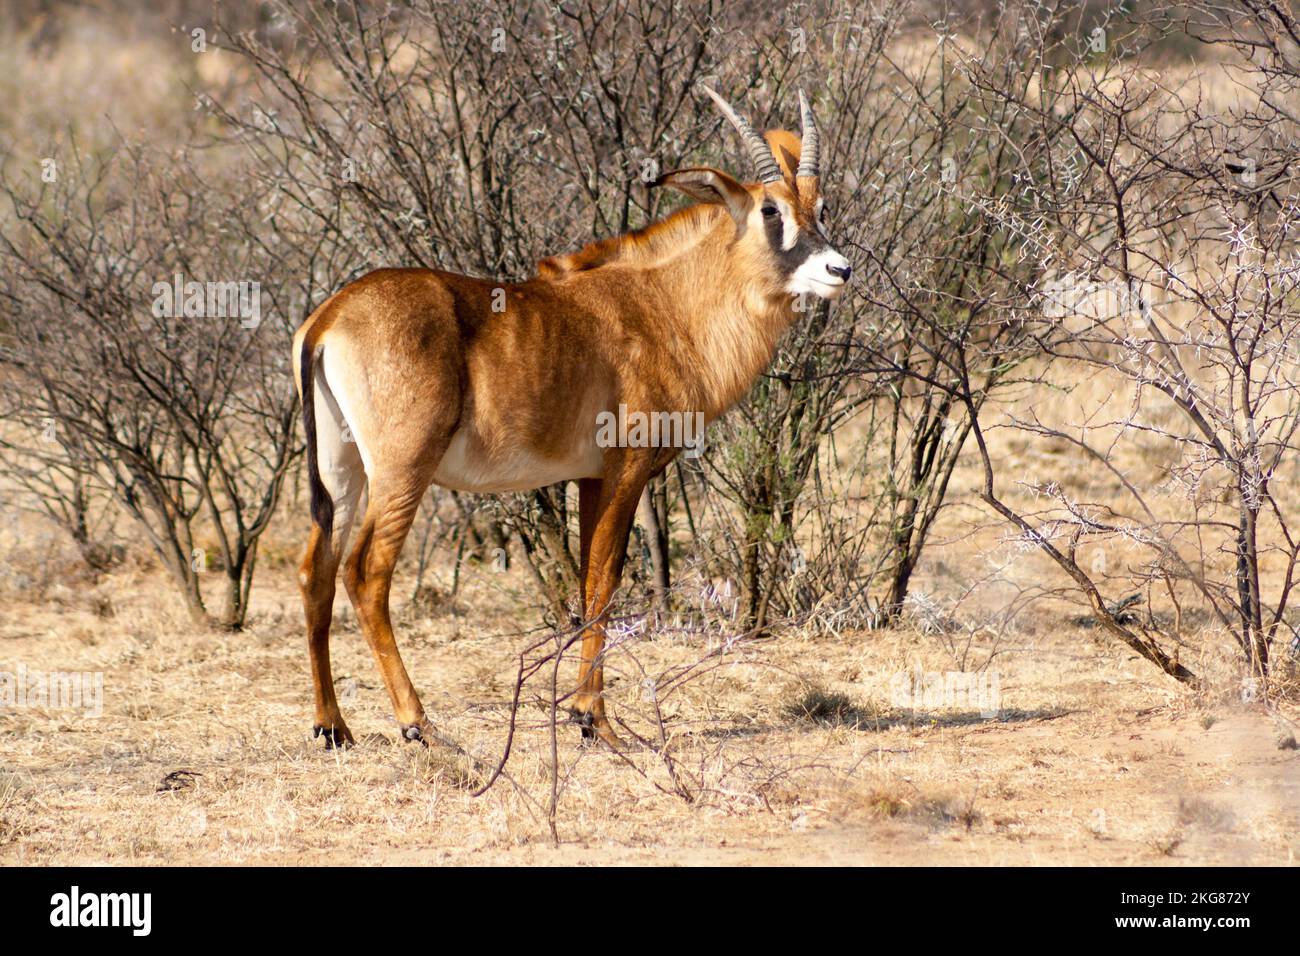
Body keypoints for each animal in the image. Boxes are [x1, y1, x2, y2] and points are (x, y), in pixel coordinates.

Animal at [293, 87, 850, 749]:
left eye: (820, 206)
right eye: (769, 210)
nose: (839, 270)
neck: (667, 305)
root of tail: (330, 318)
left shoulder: (587, 477)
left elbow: (586, 585)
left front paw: (582, 713)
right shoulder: (626, 470)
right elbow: (605, 585)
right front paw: (596, 721)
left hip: (342, 470)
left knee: (317, 571)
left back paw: (332, 725)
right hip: (403, 470)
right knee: (365, 572)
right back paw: (419, 724)